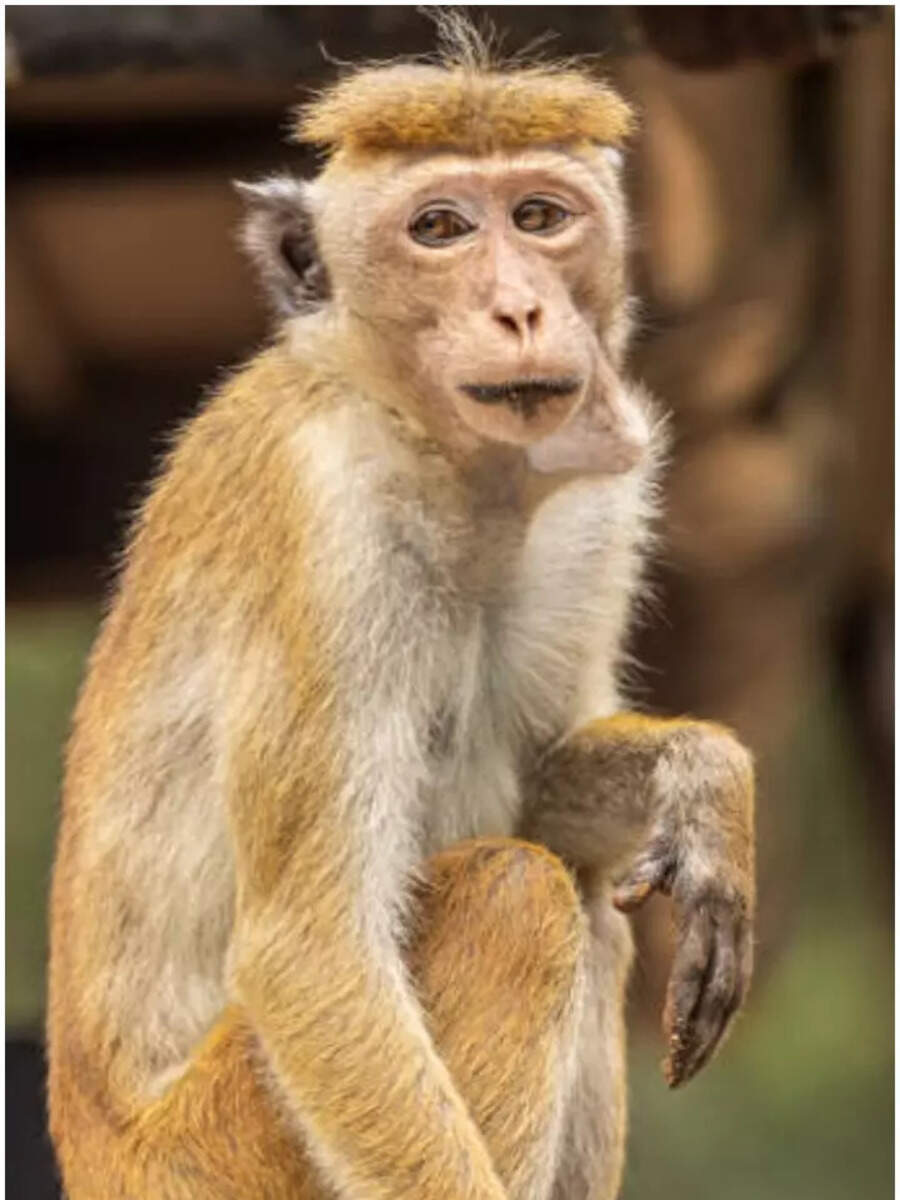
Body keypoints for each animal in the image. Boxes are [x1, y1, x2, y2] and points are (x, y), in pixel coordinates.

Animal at [47, 18, 755, 1200]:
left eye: (540, 217)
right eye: (439, 229)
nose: (522, 309)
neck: (438, 455)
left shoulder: (598, 501)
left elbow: (541, 777)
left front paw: (704, 784)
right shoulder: (327, 525)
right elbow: (312, 947)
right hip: (222, 1154)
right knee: (516, 892)